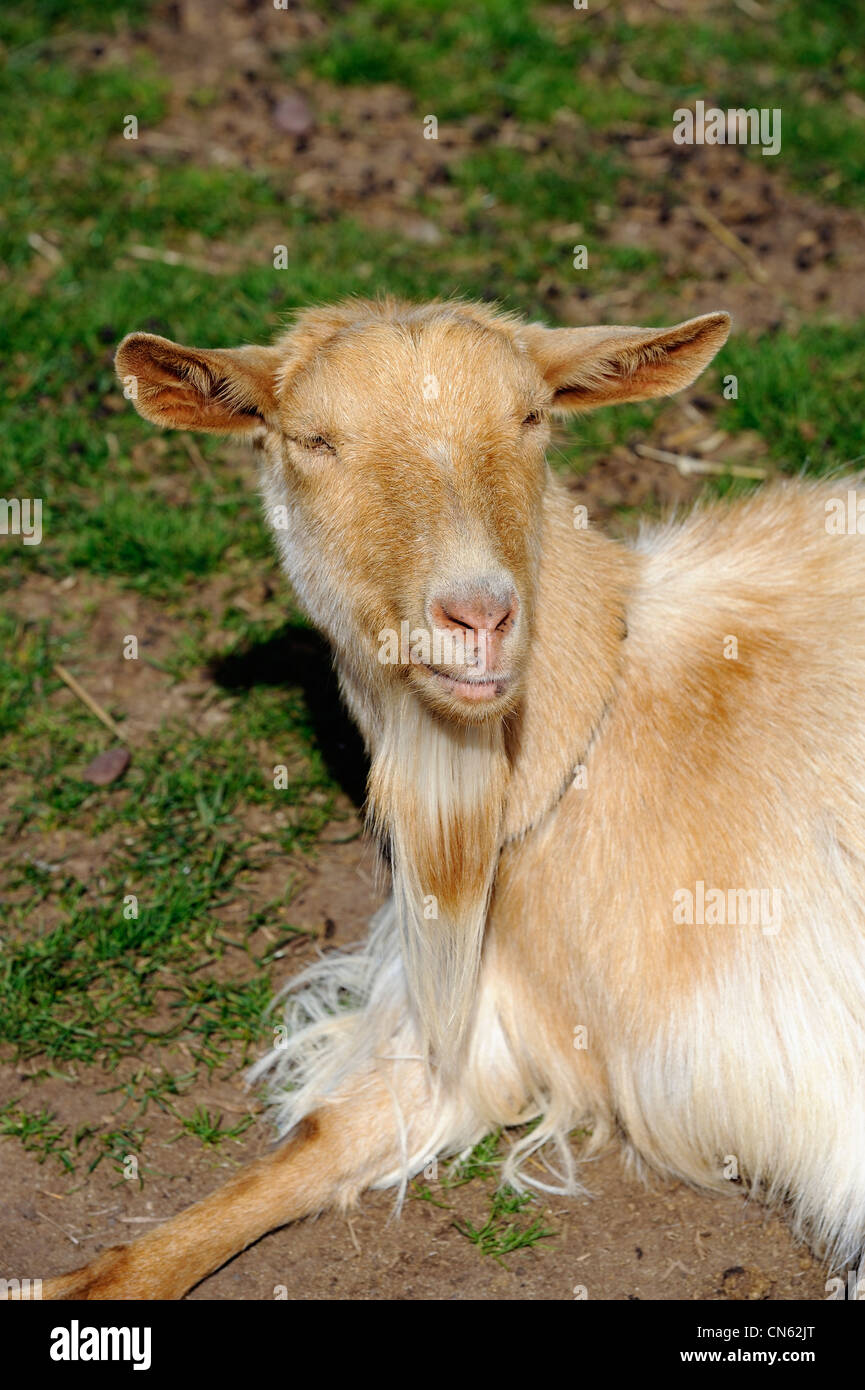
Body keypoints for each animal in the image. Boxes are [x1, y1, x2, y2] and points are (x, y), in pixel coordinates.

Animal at [26, 296, 865, 1299]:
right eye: (312, 439)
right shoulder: (477, 1013)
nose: (480, 616)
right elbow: (322, 1137)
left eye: (532, 417)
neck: (591, 733)